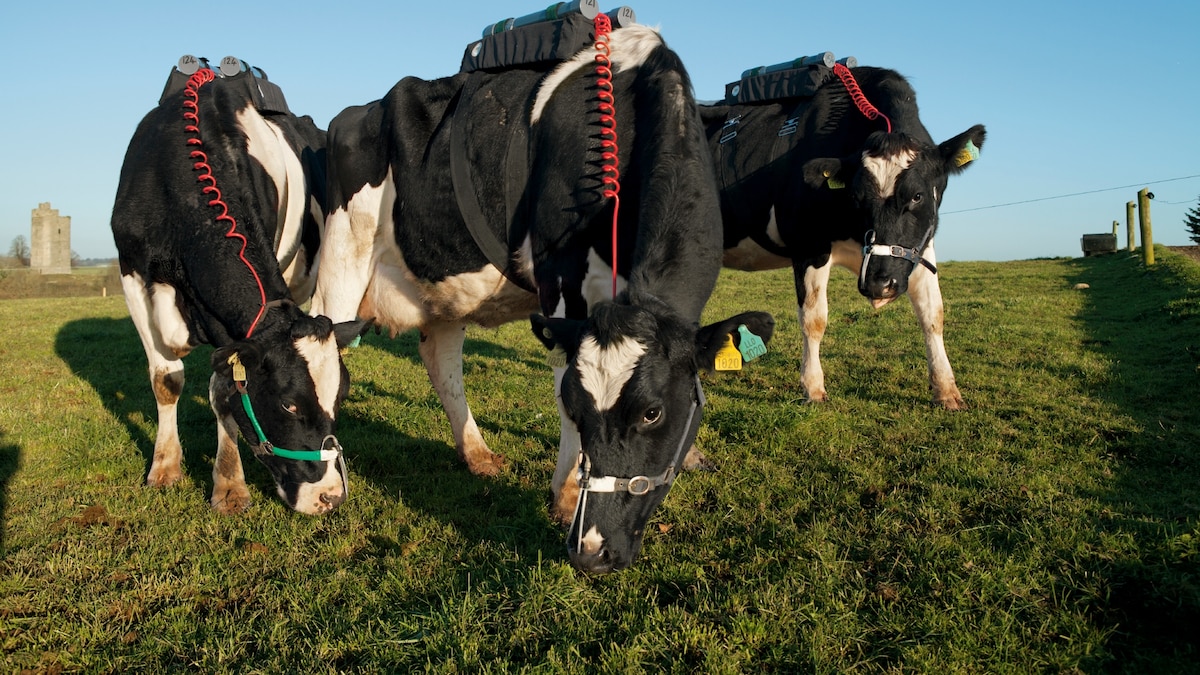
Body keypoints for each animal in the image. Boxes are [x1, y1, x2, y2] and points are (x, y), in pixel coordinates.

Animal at [111, 57, 363, 516]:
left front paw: (228, 486)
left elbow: (223, 388)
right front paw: (164, 467)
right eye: (287, 403)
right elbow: (166, 380)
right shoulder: (132, 274)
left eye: (341, 397)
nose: (330, 496)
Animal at [310, 16, 773, 574]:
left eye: (653, 412)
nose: (592, 551)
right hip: (343, 254)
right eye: (581, 406)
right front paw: (567, 496)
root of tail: (353, 113)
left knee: (440, 357)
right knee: (315, 347)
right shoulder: (560, 281)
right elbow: (560, 383)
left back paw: (477, 454)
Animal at [700, 63, 985, 409]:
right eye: (857, 196)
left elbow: (933, 314)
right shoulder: (809, 246)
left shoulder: (920, 247)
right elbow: (814, 319)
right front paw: (813, 387)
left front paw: (946, 390)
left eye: (917, 196)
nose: (879, 283)